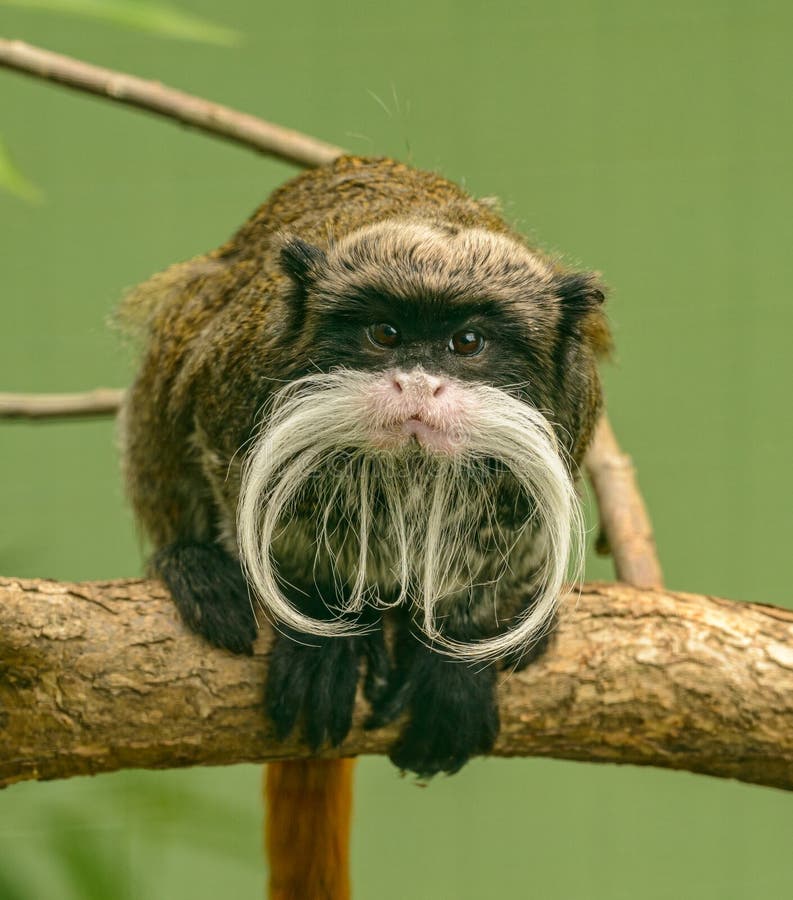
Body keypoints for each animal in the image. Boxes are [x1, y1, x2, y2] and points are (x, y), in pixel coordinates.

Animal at [119, 155, 610, 898]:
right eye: (385, 335)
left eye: (466, 343)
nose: (417, 385)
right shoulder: (238, 376)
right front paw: (324, 628)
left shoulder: (571, 411)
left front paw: (458, 657)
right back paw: (194, 564)